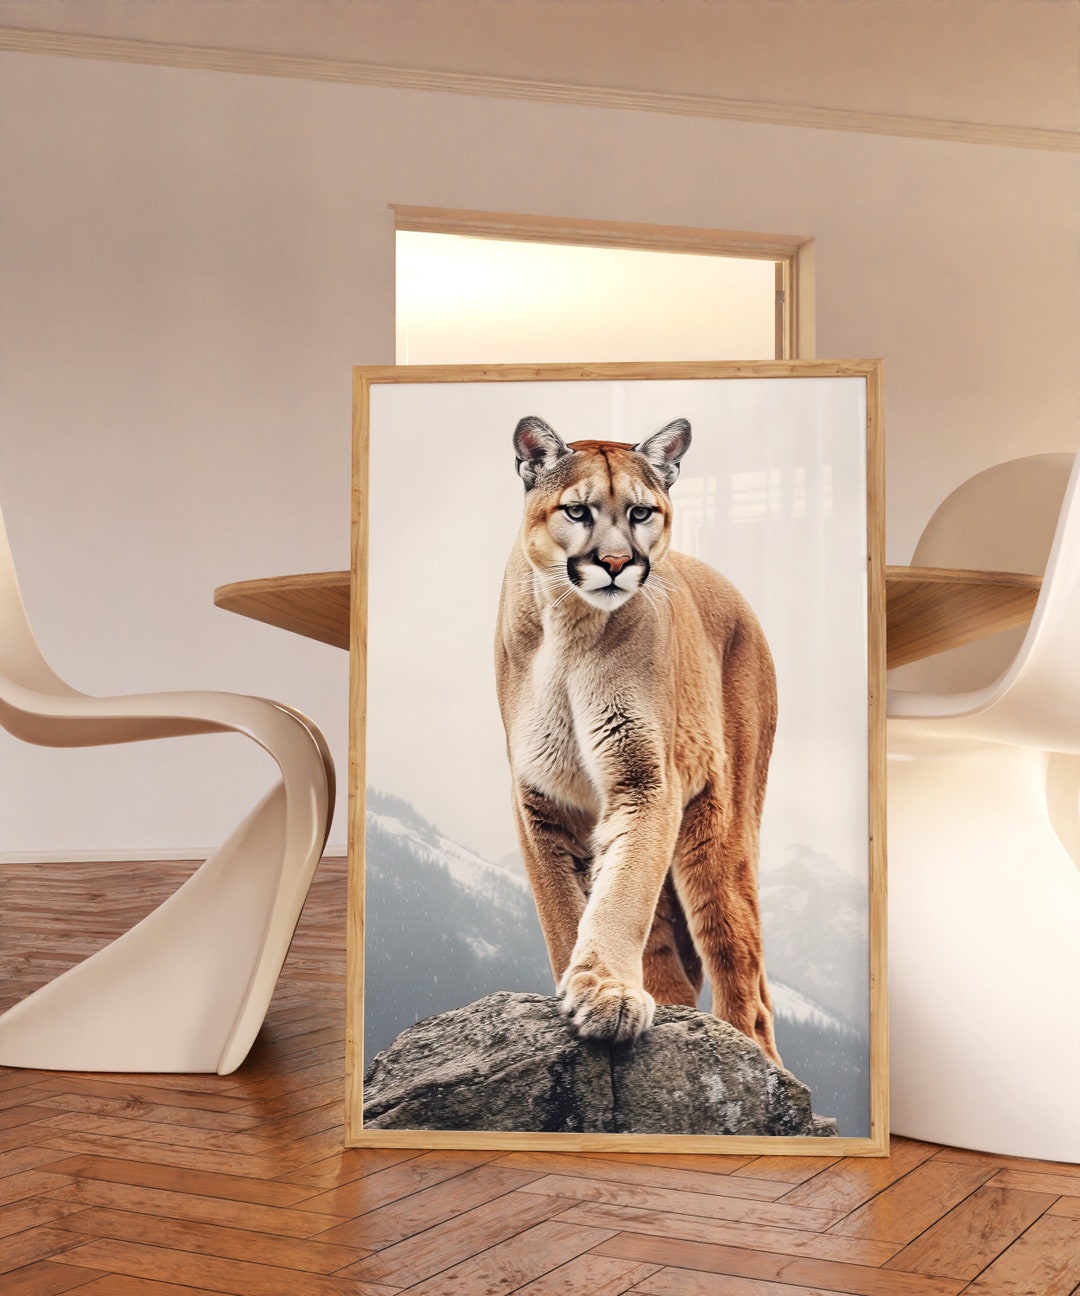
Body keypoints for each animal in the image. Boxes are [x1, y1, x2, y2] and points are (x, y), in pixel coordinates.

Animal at [494, 414, 781, 1064]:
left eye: (642, 512)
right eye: (577, 511)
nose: (616, 562)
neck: (569, 631)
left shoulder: (646, 779)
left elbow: (622, 895)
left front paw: (605, 992)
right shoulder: (541, 799)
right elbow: (565, 911)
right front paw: (593, 991)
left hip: (718, 838)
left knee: (745, 985)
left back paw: (745, 1052)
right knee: (673, 966)